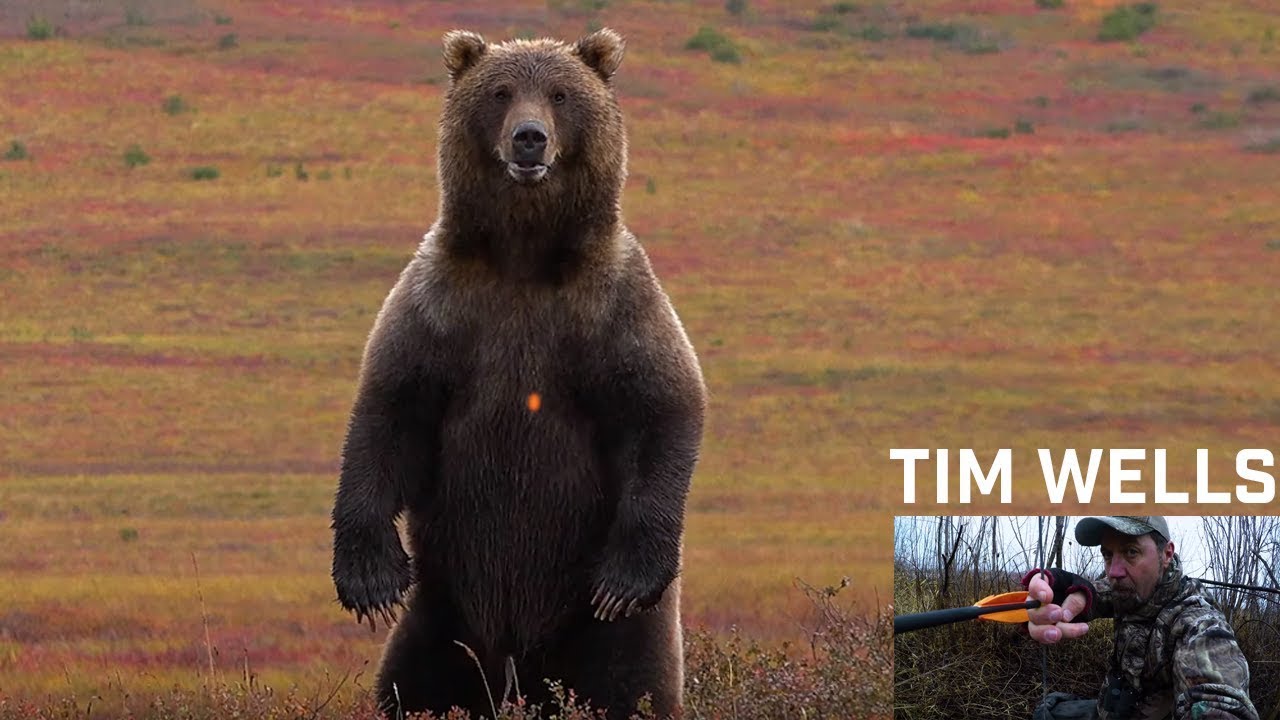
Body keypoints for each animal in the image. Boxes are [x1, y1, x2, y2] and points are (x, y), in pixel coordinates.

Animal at [328, 27, 706, 720]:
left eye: (559, 94)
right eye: (501, 92)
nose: (529, 137)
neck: (524, 257)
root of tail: (515, 664)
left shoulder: (613, 304)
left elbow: (663, 405)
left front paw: (623, 578)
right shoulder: (442, 305)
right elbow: (389, 412)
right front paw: (370, 580)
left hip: (604, 634)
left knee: (628, 683)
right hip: (444, 608)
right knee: (412, 682)